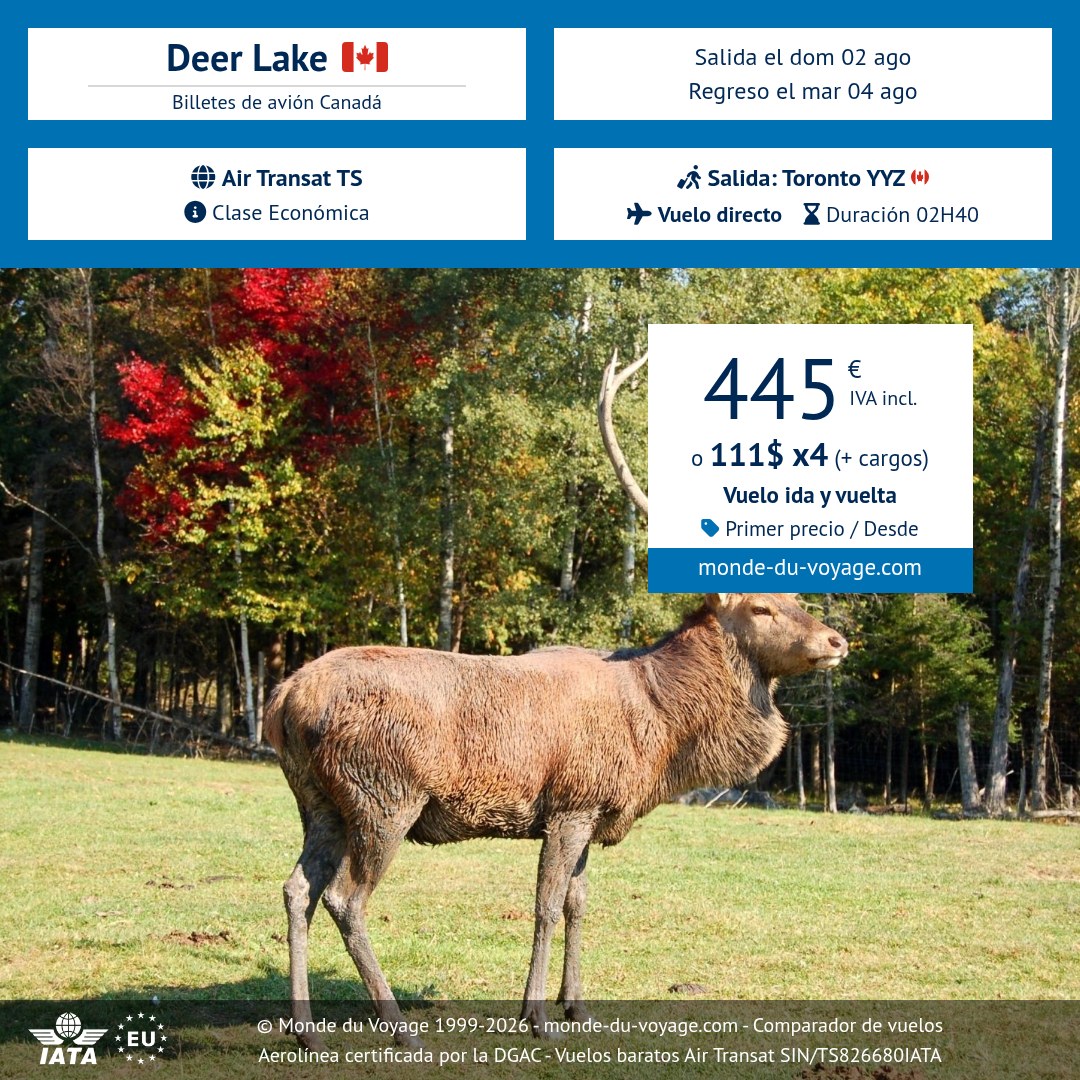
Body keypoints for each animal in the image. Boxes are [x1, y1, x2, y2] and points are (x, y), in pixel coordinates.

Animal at [265, 349, 848, 1048]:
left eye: (795, 595)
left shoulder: (596, 810)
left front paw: (579, 1006)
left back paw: (305, 1026)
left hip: (318, 798)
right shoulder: (572, 801)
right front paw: (537, 1013)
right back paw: (399, 1025)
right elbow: (544, 904)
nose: (837, 639)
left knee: (297, 886)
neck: (658, 728)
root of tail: (283, 698)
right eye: (762, 607)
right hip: (384, 794)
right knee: (344, 896)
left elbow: (578, 902)